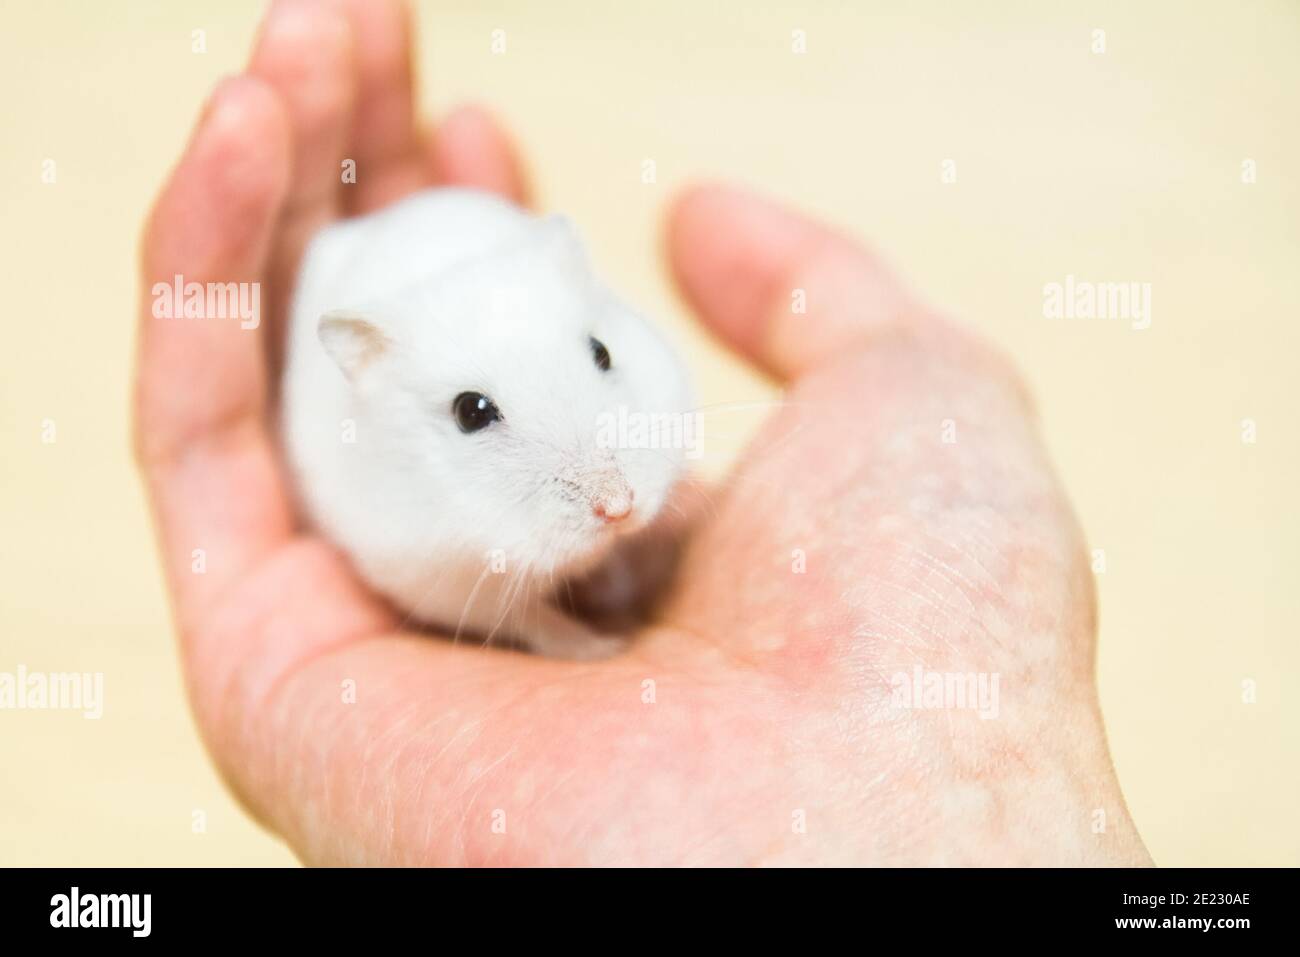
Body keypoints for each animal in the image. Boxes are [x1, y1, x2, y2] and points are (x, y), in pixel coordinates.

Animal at [281, 188, 692, 660]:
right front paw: (602, 648)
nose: (620, 508)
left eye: (601, 351)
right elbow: (535, 621)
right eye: (470, 412)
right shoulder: (452, 587)